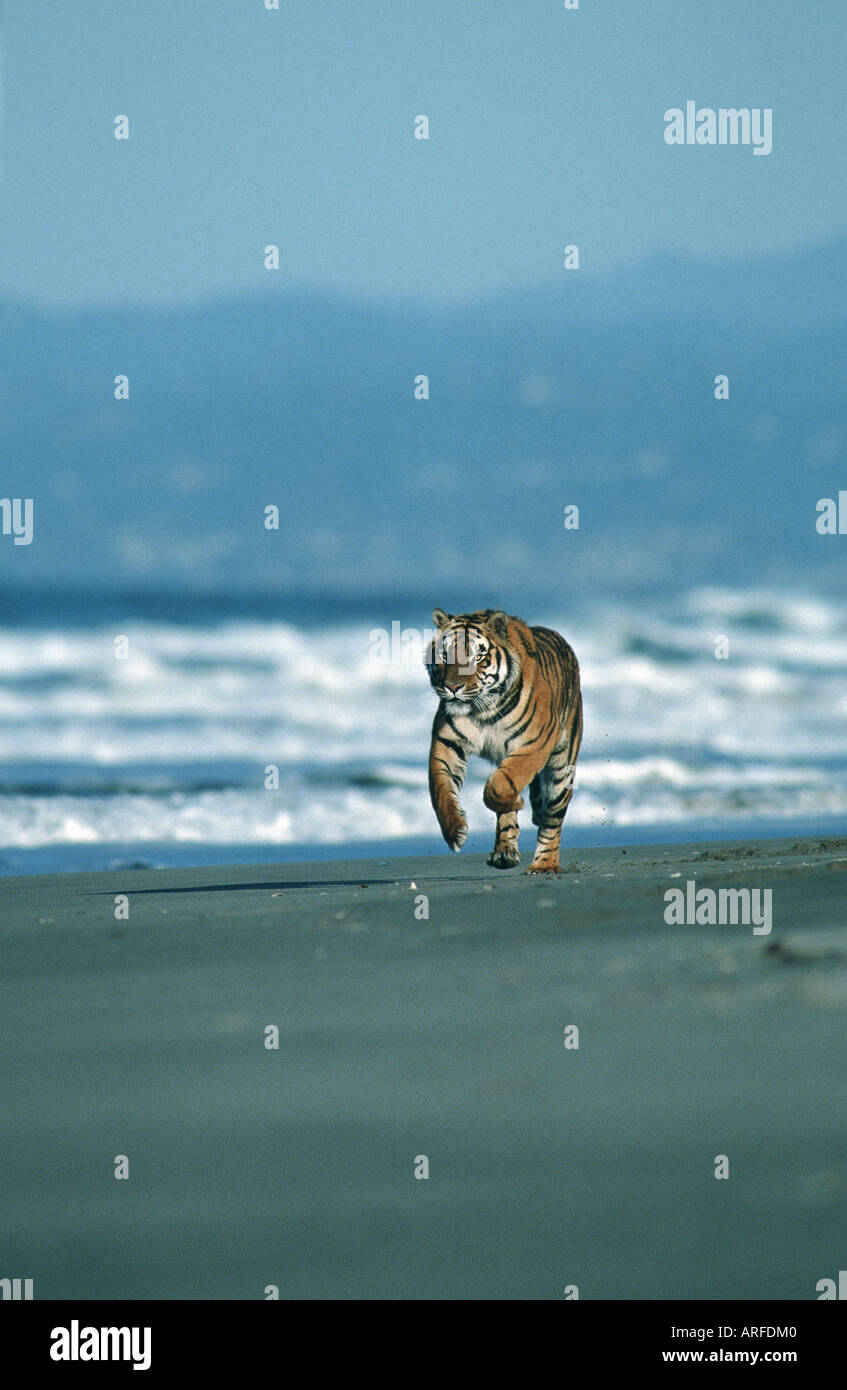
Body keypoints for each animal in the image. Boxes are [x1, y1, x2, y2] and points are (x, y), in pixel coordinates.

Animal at [425, 607, 583, 874]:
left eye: (477, 657)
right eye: (445, 655)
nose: (453, 687)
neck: (482, 710)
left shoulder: (533, 743)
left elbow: (499, 786)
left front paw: (515, 801)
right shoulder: (446, 744)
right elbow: (441, 790)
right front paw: (455, 830)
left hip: (562, 767)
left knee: (552, 819)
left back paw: (544, 864)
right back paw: (504, 853)